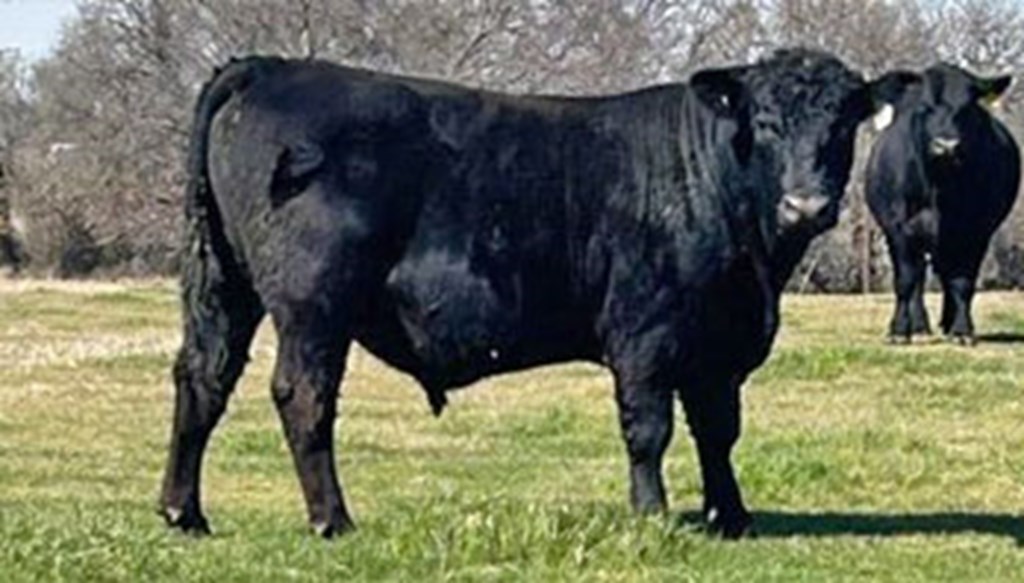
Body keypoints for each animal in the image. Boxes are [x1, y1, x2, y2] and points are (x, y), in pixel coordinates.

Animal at [158, 50, 905, 539]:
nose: (806, 206)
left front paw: (732, 516)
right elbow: (650, 429)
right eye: (767, 122)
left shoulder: (721, 344)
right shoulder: (646, 333)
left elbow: (718, 429)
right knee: (303, 395)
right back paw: (332, 518)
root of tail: (267, 66)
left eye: (843, 124)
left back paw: (183, 511)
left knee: (203, 378)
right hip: (314, 303)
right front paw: (652, 515)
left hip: (226, 287)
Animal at [867, 64, 1021, 344]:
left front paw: (962, 330)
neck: (939, 186)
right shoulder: (899, 229)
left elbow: (962, 282)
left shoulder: (975, 232)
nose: (946, 145)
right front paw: (899, 330)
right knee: (918, 278)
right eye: (924, 107)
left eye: (967, 108)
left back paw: (947, 323)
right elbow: (905, 281)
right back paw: (919, 325)